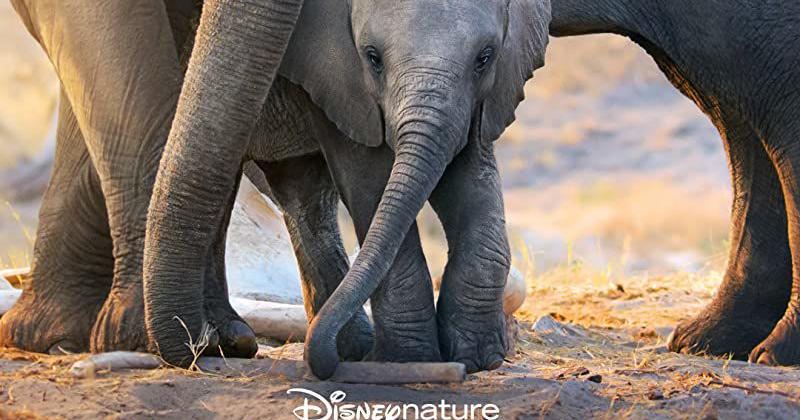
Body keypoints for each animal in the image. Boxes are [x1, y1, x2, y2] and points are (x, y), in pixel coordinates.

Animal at [144, 0, 550, 379]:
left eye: (485, 58)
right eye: (373, 58)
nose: (319, 362)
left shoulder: (486, 97)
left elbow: (470, 175)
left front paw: (478, 360)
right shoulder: (344, 85)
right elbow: (369, 177)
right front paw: (410, 360)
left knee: (298, 190)